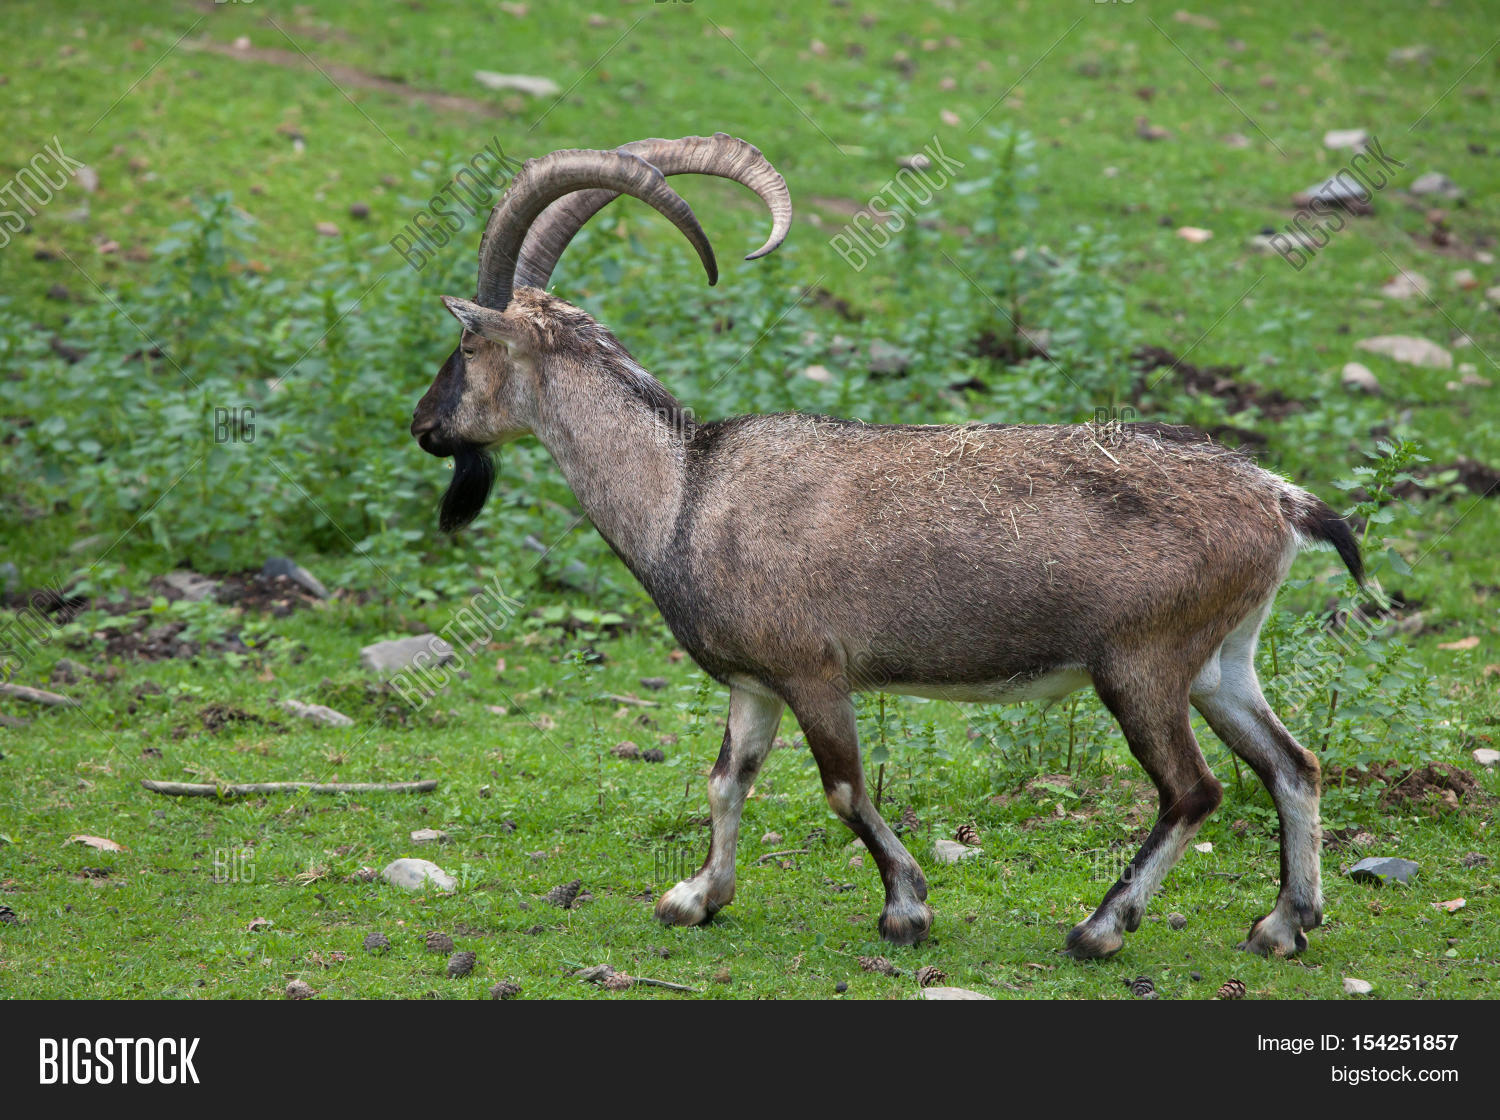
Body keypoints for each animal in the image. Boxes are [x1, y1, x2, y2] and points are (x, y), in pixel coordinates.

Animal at [409, 135, 1364, 959]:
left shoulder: (814, 675)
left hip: (1143, 666)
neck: (685, 492)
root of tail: (1280, 500)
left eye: (467, 341)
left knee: (1194, 789)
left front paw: (905, 909)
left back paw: (1100, 928)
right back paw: (1283, 924)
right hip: (1221, 662)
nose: (424, 427)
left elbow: (842, 788)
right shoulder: (754, 683)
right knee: (1294, 765)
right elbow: (728, 778)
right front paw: (695, 898)